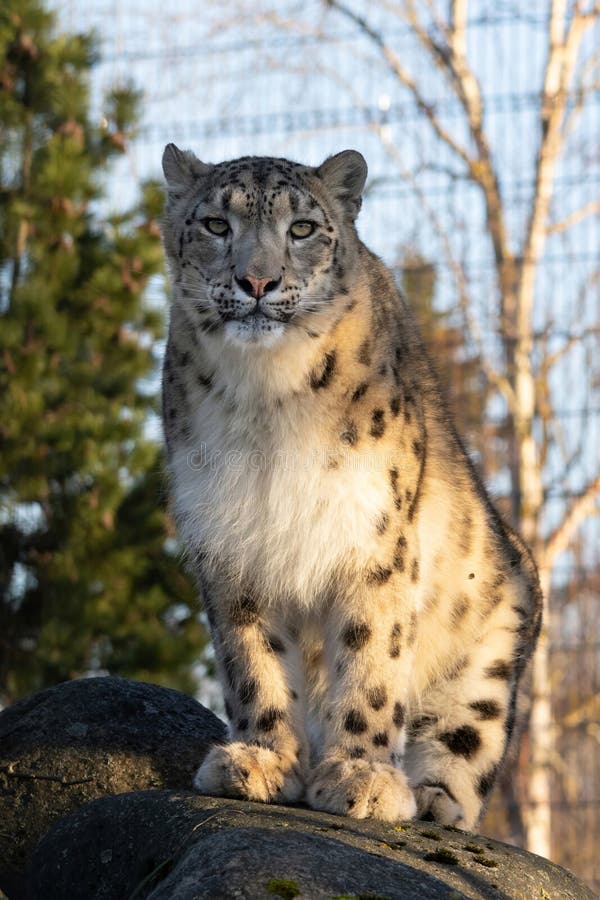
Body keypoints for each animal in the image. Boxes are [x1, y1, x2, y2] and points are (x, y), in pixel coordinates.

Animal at [160, 143, 542, 829]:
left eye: (302, 228)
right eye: (216, 225)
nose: (256, 282)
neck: (267, 403)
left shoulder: (374, 536)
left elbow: (372, 653)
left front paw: (361, 776)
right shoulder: (229, 538)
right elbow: (250, 658)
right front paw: (260, 760)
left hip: (493, 642)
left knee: (469, 736)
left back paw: (431, 798)